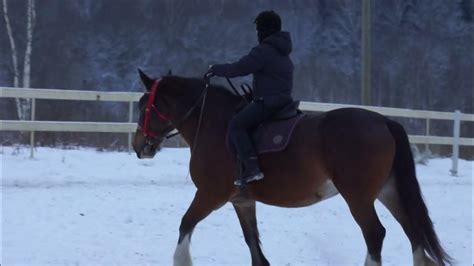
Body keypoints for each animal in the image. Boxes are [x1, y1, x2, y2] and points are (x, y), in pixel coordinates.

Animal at [131, 70, 450, 266]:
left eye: (145, 105)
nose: (139, 146)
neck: (214, 123)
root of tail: (383, 121)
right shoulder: (241, 201)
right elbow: (254, 248)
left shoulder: (210, 195)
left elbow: (186, 223)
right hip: (389, 191)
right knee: (413, 232)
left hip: (358, 196)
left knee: (375, 234)